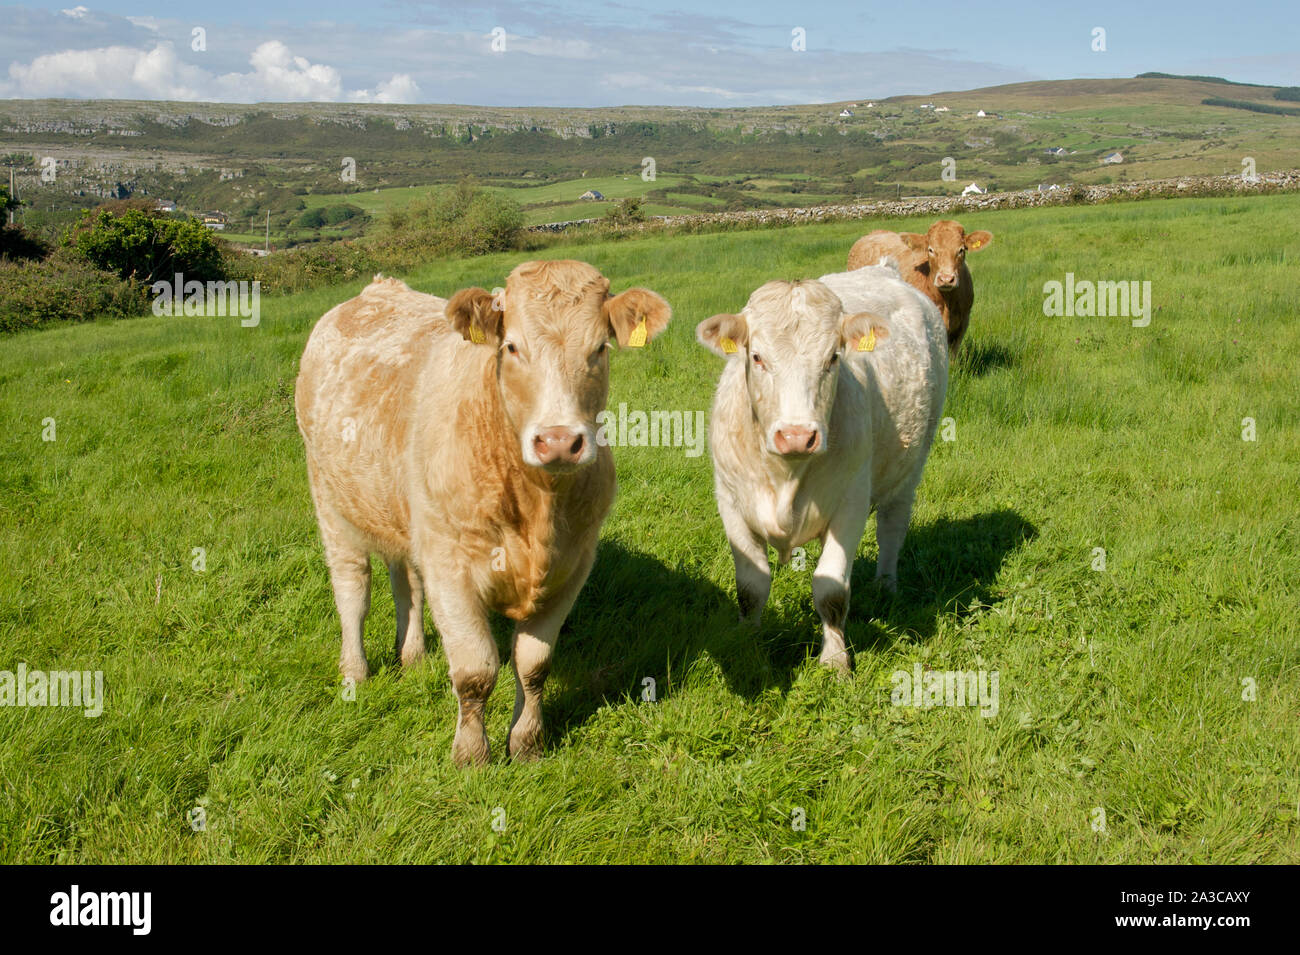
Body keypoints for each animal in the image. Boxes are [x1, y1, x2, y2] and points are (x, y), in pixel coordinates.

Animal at [295, 261, 671, 765]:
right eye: (511, 346)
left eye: (599, 348)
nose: (558, 442)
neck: (536, 507)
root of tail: (376, 290)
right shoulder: (451, 567)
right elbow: (475, 671)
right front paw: (471, 755)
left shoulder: (572, 566)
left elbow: (533, 666)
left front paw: (527, 744)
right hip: (331, 501)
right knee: (352, 589)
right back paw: (355, 672)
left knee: (405, 582)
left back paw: (413, 657)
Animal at [696, 263, 946, 671]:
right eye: (757, 357)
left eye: (833, 358)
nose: (797, 435)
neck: (786, 475)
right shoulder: (731, 502)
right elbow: (751, 588)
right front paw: (748, 646)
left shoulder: (851, 503)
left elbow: (831, 589)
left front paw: (835, 660)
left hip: (912, 465)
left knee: (892, 529)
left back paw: (885, 586)